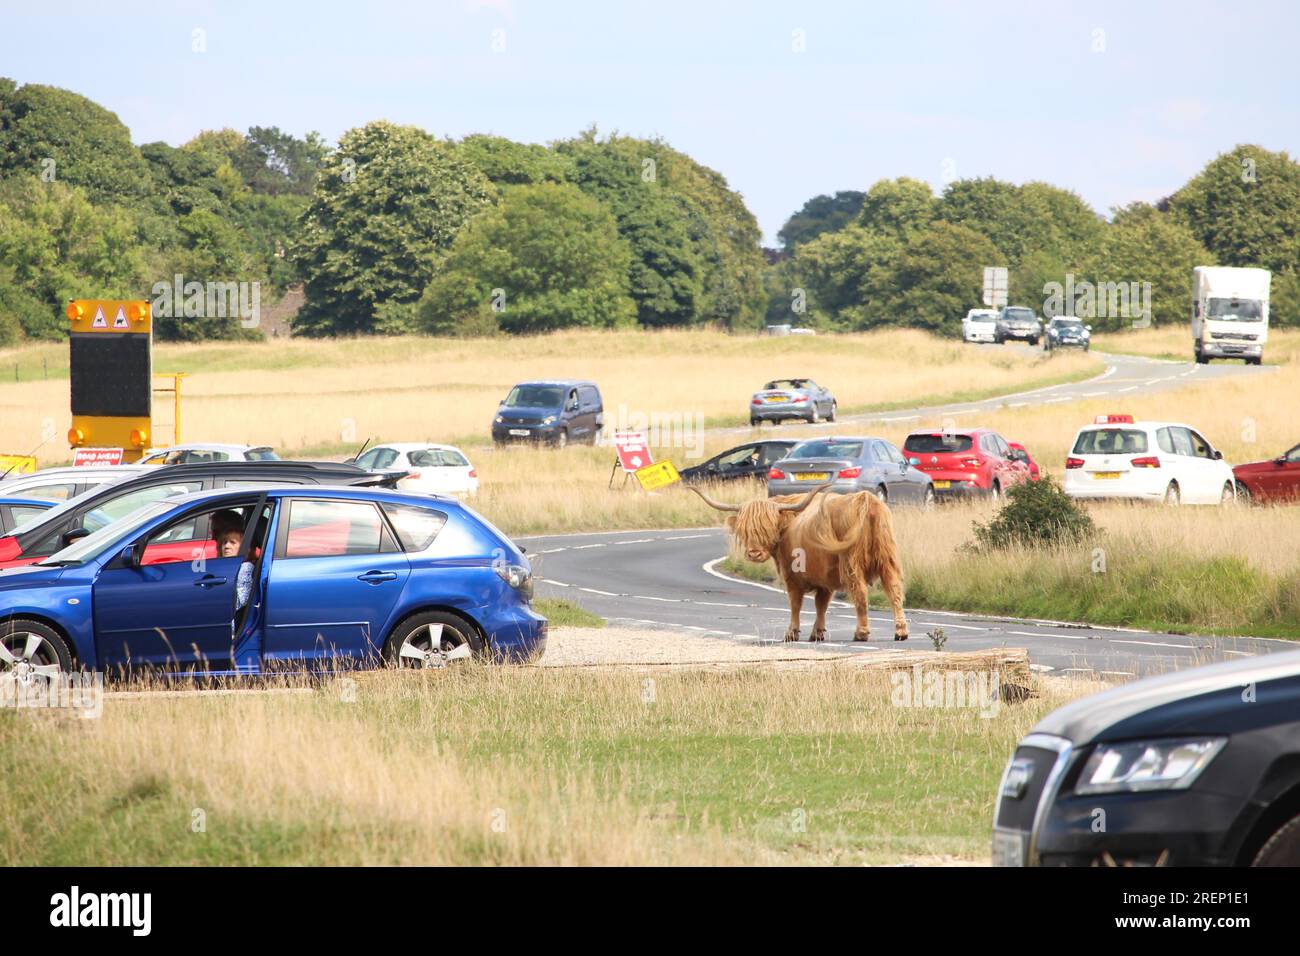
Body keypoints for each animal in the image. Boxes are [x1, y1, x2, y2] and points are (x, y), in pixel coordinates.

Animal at [689, 482, 909, 642]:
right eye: (746, 530)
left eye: (766, 529)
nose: (754, 554)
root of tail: (864, 499)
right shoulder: (824, 578)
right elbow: (822, 604)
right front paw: (817, 633)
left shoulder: (792, 575)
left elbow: (796, 603)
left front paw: (792, 633)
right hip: (888, 559)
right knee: (894, 591)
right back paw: (900, 631)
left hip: (851, 563)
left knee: (861, 593)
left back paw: (861, 633)